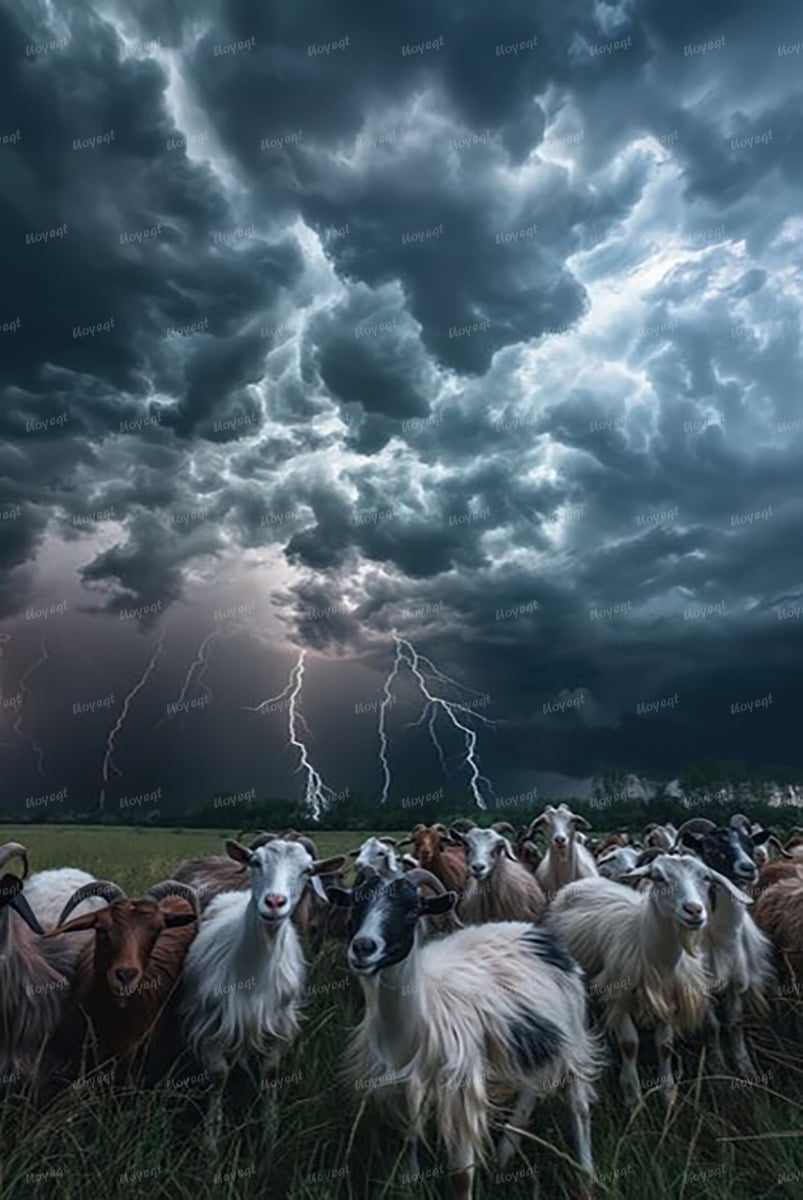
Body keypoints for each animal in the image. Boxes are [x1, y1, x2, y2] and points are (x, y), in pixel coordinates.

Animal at [180, 837, 345, 1146]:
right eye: (255, 861)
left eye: (307, 871)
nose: (274, 902)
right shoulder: (209, 1023)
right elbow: (218, 1076)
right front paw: (211, 1138)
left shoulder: (278, 1026)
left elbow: (271, 1074)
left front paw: (269, 1133)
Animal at [327, 868, 601, 1198]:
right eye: (355, 905)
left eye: (413, 910)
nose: (363, 947)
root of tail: (537, 933)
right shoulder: (405, 1085)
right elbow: (410, 1138)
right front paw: (410, 1179)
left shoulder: (462, 1089)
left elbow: (460, 1175)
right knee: (531, 1089)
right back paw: (505, 1154)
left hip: (572, 1034)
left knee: (579, 1107)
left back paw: (586, 1178)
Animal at [546, 853, 713, 1107]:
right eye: (658, 877)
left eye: (705, 877)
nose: (694, 910)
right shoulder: (619, 995)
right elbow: (630, 1044)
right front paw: (633, 1097)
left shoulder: (669, 999)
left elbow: (665, 1046)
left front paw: (667, 1095)